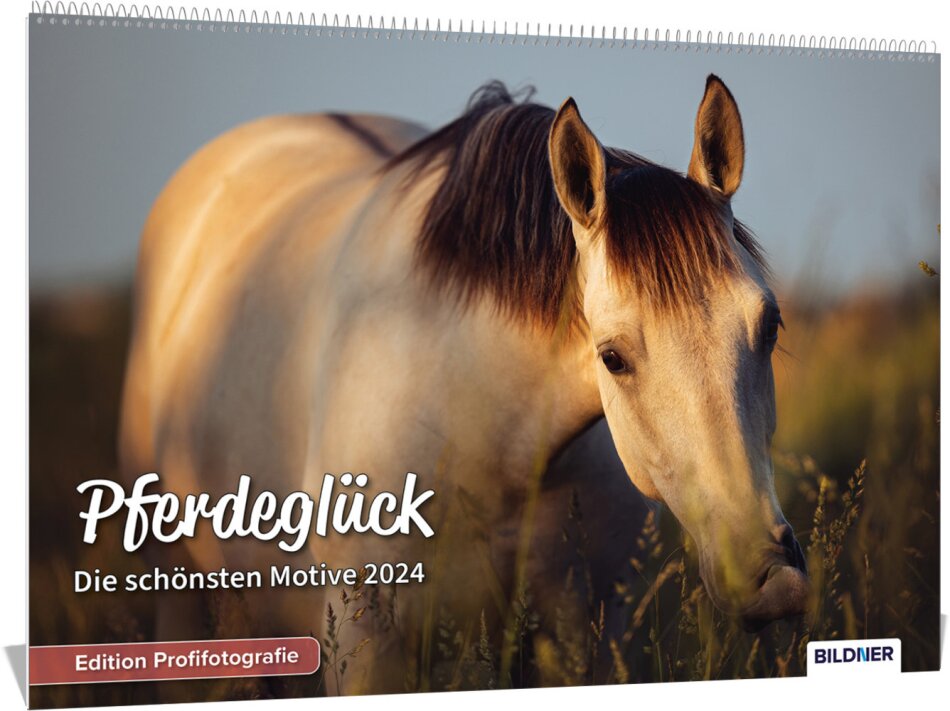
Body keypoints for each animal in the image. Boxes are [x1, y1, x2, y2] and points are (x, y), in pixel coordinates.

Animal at [118, 74, 808, 695]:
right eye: (611, 357)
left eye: (769, 325)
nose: (769, 575)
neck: (490, 429)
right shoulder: (367, 640)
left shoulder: (589, 629)